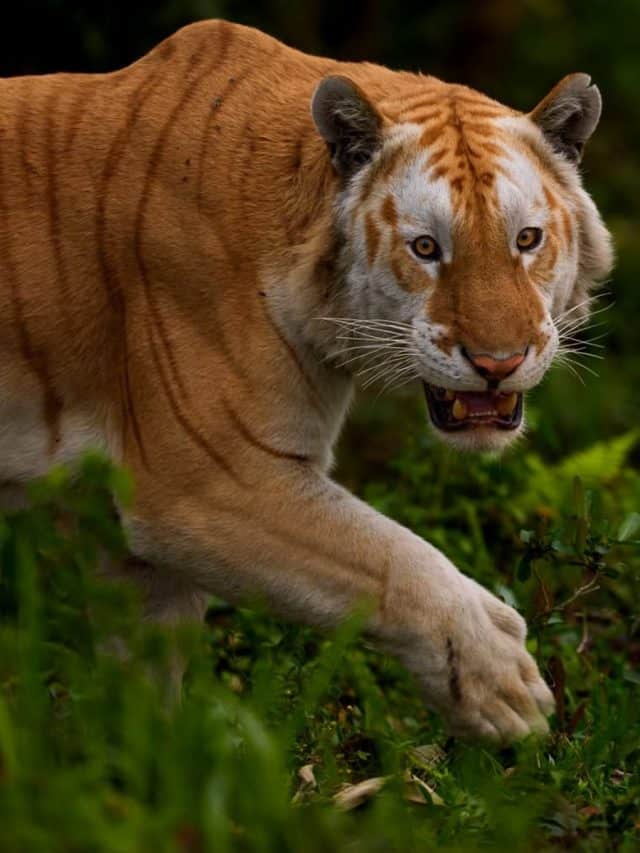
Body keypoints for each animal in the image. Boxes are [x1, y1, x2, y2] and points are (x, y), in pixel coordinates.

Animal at [0, 19, 613, 741]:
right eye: (426, 248)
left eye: (526, 240)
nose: (499, 361)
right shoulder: (202, 482)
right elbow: (389, 556)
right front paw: (500, 679)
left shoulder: (133, 536)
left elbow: (145, 682)